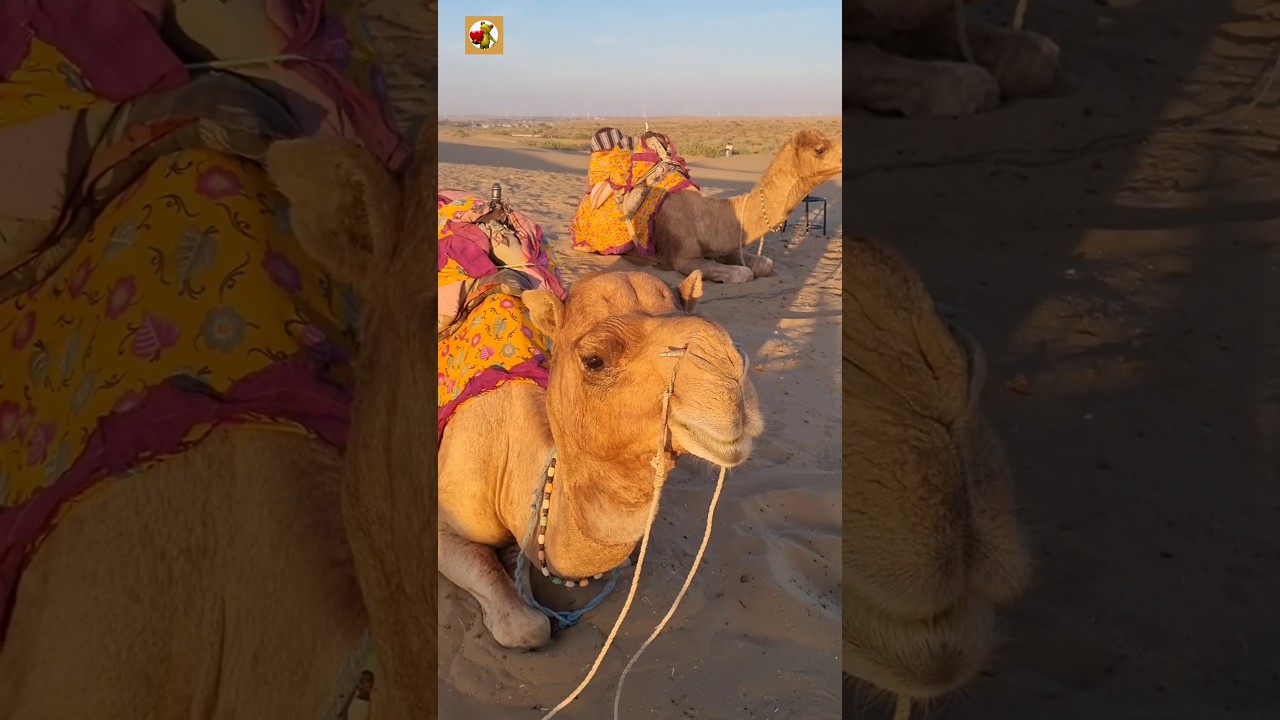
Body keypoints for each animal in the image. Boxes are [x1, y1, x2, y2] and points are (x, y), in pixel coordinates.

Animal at [648, 129, 843, 284]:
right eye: (820, 149)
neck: (707, 220)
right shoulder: (681, 258)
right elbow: (743, 273)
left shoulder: (725, 247)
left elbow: (765, 263)